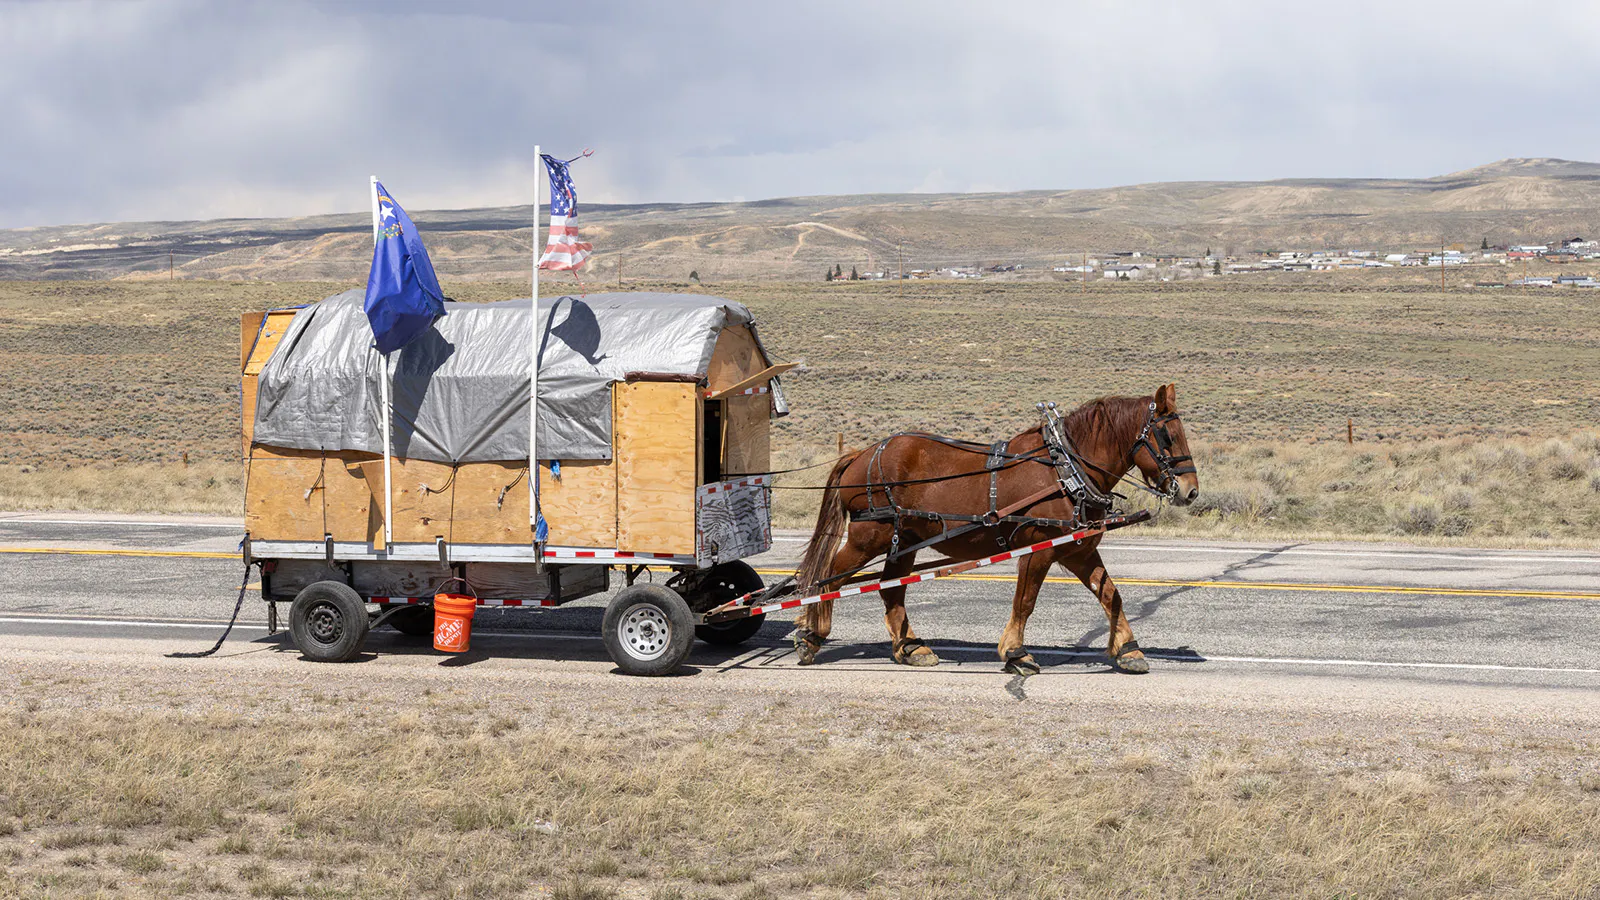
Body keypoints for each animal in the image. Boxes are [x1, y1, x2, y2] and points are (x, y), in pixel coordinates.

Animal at [792, 384, 1199, 674]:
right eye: (1168, 436)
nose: (1191, 490)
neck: (1066, 470)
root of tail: (860, 454)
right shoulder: (1039, 547)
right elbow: (1026, 601)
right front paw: (1016, 653)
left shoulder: (1079, 549)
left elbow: (1111, 595)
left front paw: (1129, 650)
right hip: (869, 537)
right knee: (827, 576)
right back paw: (811, 634)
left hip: (903, 540)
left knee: (891, 589)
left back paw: (910, 647)